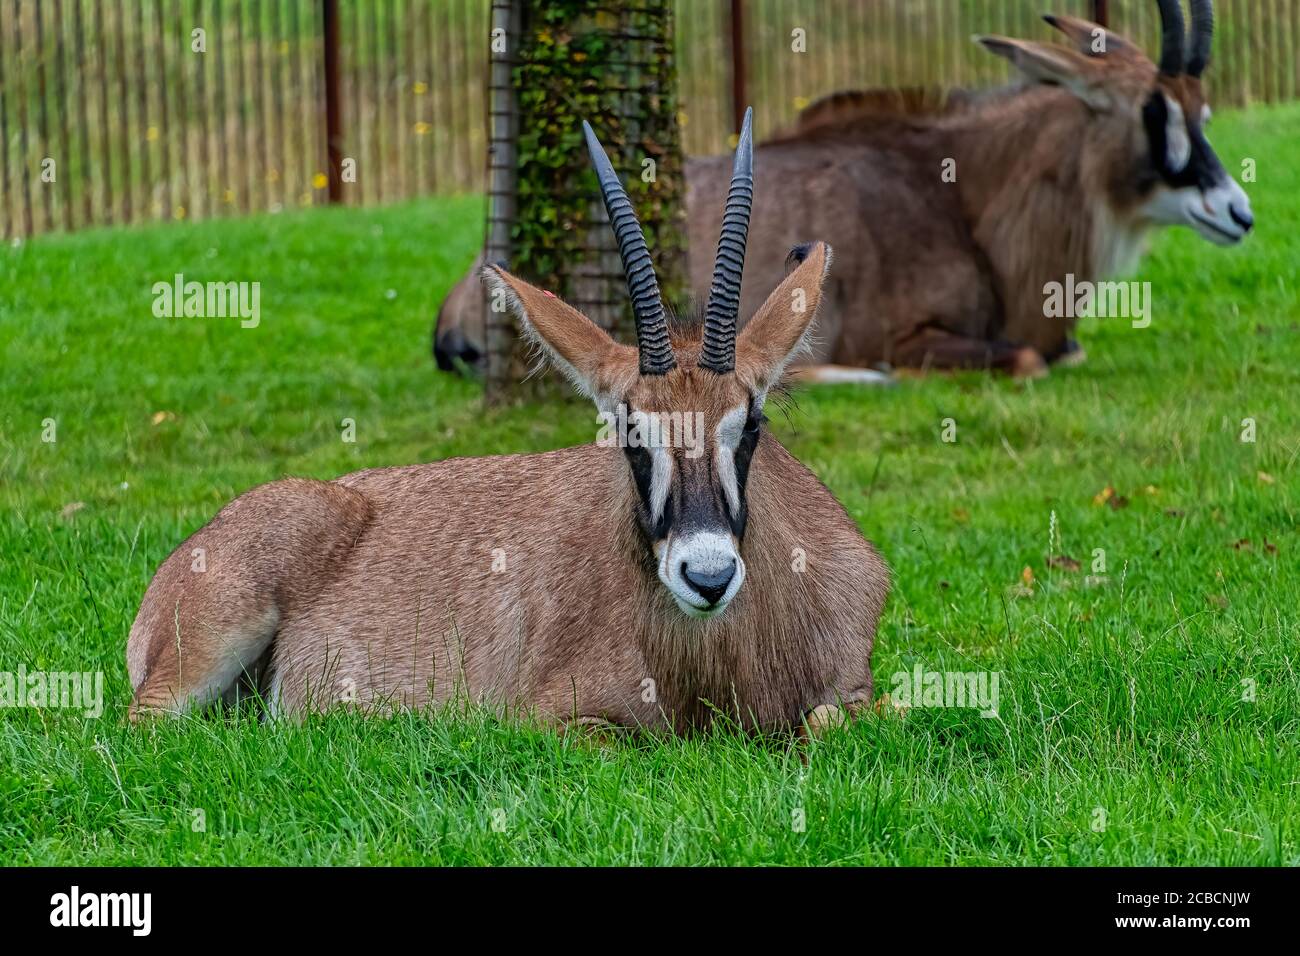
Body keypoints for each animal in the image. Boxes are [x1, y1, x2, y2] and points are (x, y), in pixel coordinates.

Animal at [127, 110, 890, 734]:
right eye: (629, 432)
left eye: (748, 426)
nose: (707, 577)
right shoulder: (556, 720)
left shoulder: (859, 691)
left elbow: (834, 719)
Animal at [435, 0, 1252, 379]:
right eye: (1154, 112)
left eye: (1203, 109)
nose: (1237, 212)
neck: (964, 201)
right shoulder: (909, 335)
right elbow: (1025, 357)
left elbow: (1065, 351)